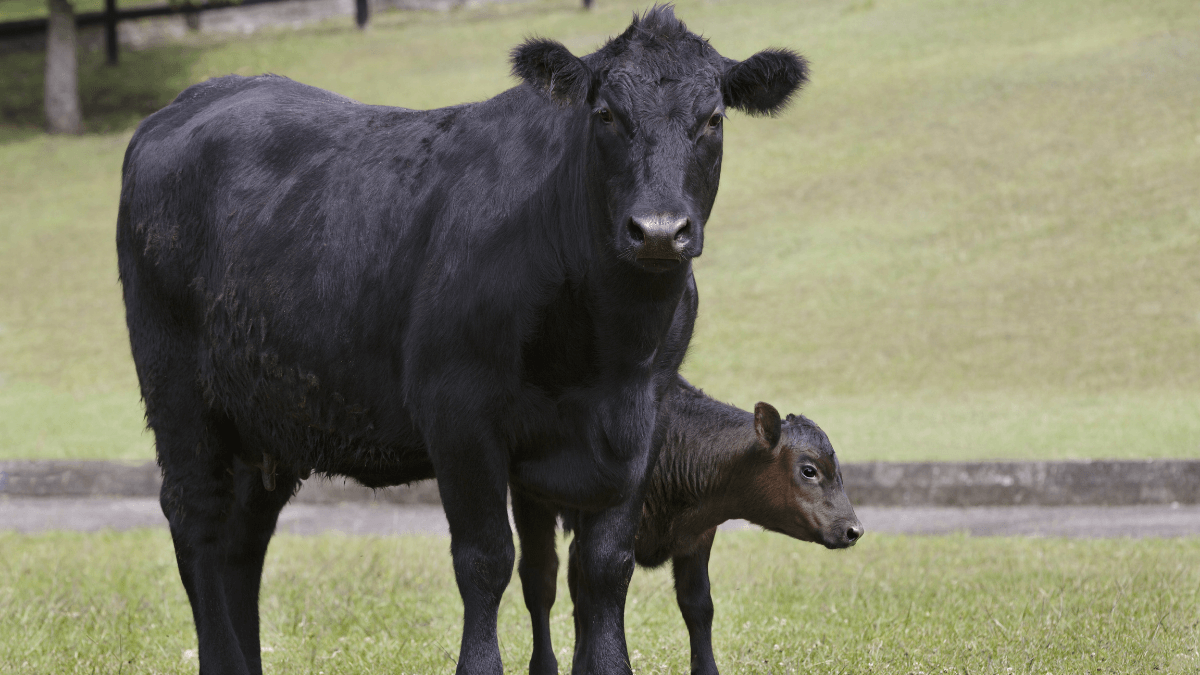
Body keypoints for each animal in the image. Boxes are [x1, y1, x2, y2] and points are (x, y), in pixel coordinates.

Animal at [116, 6, 807, 674]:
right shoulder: (458, 411)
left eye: (713, 119)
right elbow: (486, 558)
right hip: (177, 390)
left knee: (245, 537)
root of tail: (196, 98)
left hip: (267, 416)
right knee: (198, 520)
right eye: (607, 114)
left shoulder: (643, 419)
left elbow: (605, 568)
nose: (660, 230)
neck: (608, 347)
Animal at [513, 377, 863, 675]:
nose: (854, 530)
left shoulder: (698, 536)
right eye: (809, 470)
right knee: (541, 581)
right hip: (530, 500)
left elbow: (697, 605)